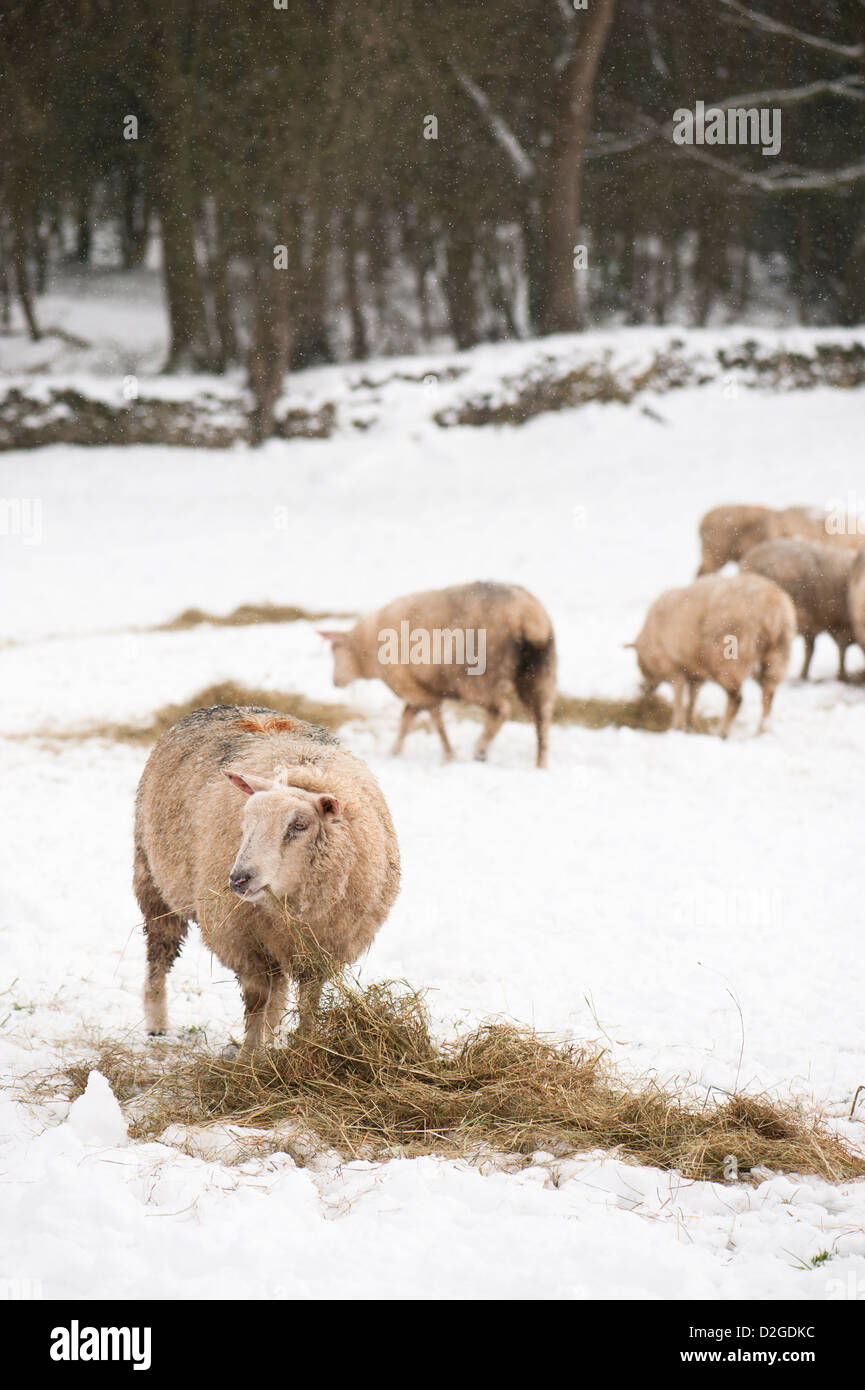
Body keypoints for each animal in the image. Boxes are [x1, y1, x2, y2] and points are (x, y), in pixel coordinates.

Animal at [134, 704, 400, 1053]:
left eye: (299, 825)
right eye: (246, 818)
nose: (238, 879)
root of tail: (229, 705)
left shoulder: (322, 948)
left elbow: (309, 1000)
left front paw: (304, 1047)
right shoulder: (244, 943)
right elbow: (256, 1000)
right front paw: (250, 1055)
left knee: (280, 986)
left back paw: (273, 1037)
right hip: (153, 882)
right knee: (159, 955)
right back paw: (157, 1024)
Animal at [320, 581, 557, 768]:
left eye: (334, 650)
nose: (334, 681)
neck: (366, 648)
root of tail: (528, 615)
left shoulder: (416, 688)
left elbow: (433, 721)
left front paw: (448, 755)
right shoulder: (422, 689)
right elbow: (408, 719)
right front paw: (395, 751)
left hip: (478, 677)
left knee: (502, 709)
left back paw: (480, 750)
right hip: (540, 671)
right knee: (542, 717)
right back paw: (540, 765)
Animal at [630, 573, 796, 737]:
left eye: (639, 665)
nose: (643, 690)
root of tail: (771, 607)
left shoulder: (674, 668)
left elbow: (679, 698)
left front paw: (676, 726)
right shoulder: (695, 672)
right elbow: (693, 697)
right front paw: (689, 723)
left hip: (729, 659)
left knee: (736, 698)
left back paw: (722, 733)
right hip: (777, 656)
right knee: (768, 695)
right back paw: (762, 731)